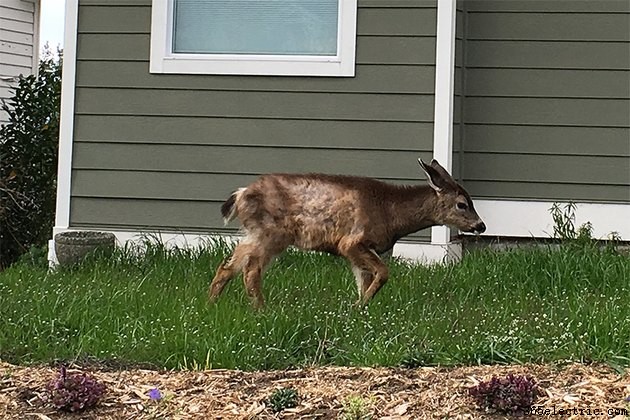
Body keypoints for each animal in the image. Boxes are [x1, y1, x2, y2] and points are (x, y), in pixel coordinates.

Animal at [210, 158, 486, 308]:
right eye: (462, 204)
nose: (481, 226)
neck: (390, 211)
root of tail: (241, 194)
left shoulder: (366, 250)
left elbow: (365, 280)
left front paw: (361, 309)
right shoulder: (351, 242)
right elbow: (383, 274)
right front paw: (358, 305)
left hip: (256, 233)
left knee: (229, 264)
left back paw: (211, 302)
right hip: (270, 233)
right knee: (250, 270)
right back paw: (261, 309)